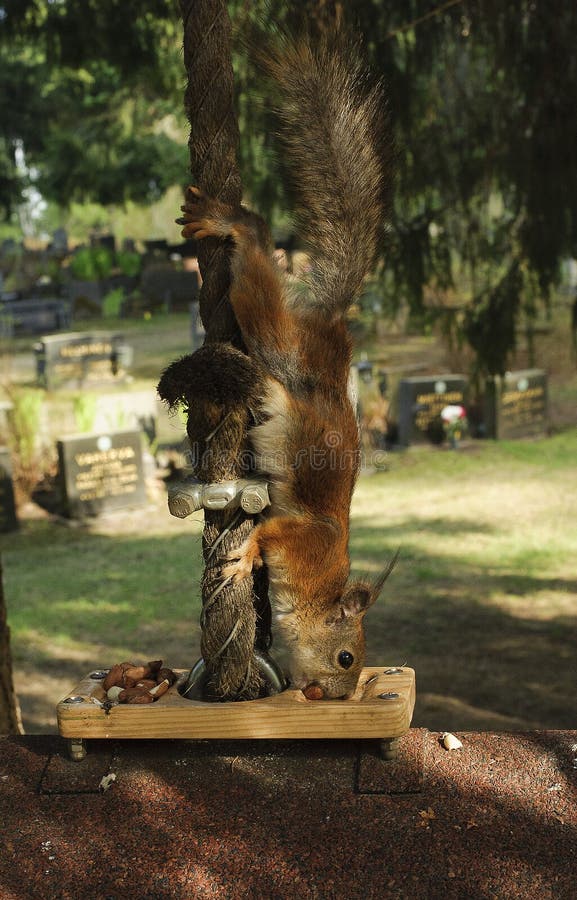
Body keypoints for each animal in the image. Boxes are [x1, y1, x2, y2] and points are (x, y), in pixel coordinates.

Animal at [164, 31, 396, 700]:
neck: (322, 585)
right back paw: (233, 222)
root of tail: (328, 326)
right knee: (258, 255)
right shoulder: (300, 535)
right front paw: (240, 558)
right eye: (346, 657)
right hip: (273, 339)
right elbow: (266, 531)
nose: (326, 694)